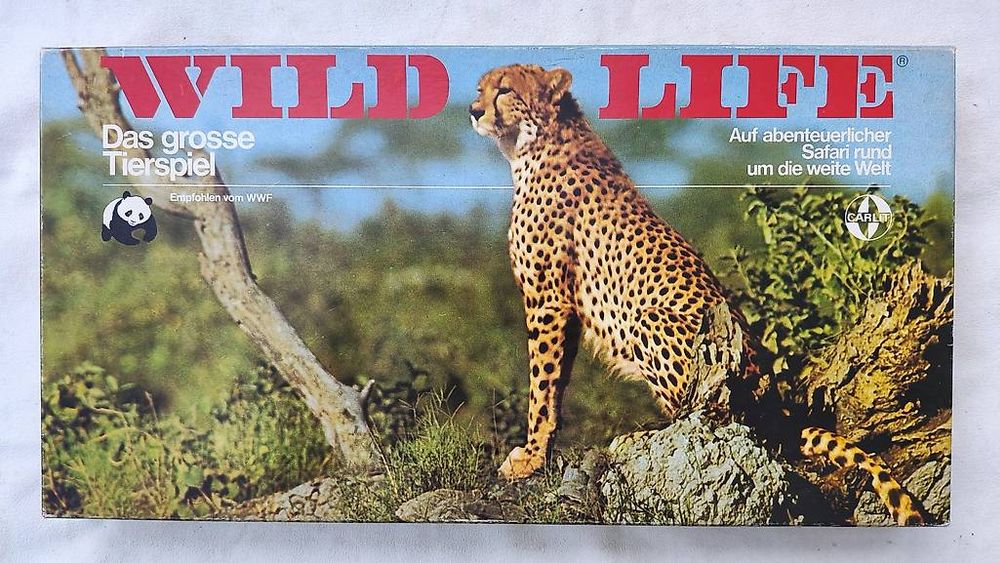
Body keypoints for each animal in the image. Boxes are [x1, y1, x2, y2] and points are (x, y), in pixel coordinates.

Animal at [469, 63, 924, 526]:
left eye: (504, 90)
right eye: (481, 88)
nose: (473, 111)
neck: (535, 143)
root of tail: (777, 409)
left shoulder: (548, 301)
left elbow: (541, 388)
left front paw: (530, 458)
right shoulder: (565, 309)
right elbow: (556, 383)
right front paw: (538, 453)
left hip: (652, 319)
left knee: (711, 416)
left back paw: (647, 434)